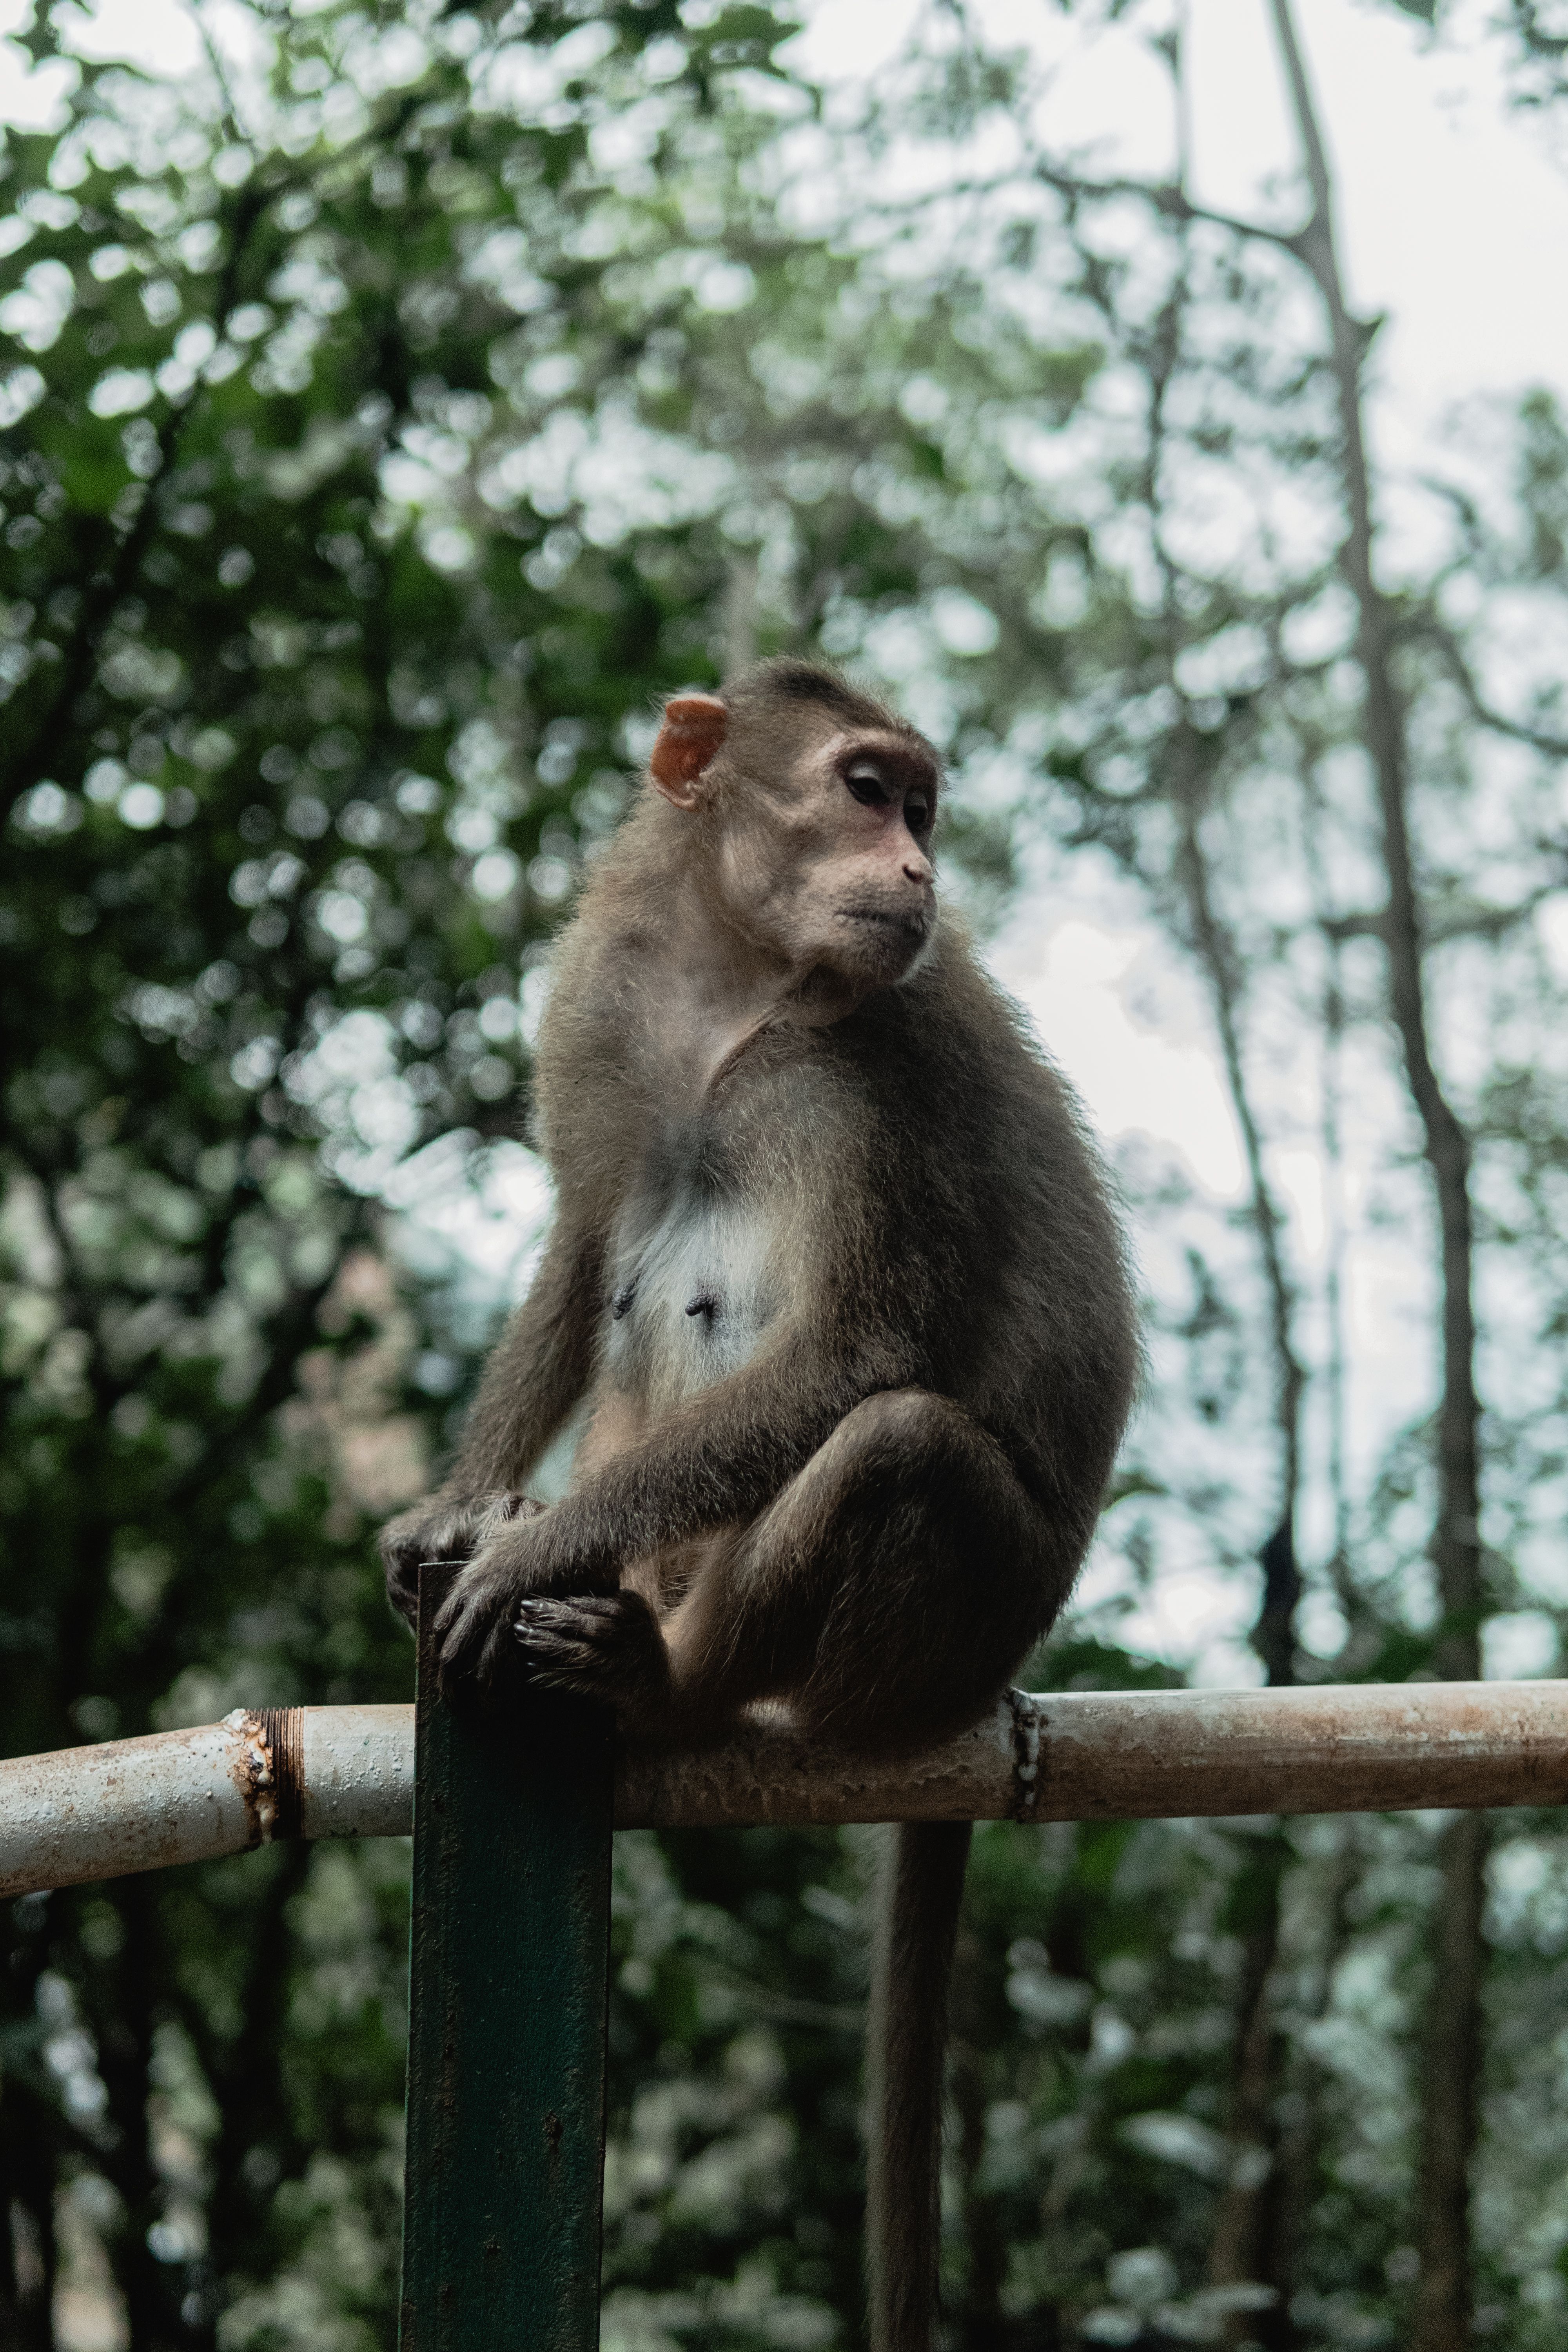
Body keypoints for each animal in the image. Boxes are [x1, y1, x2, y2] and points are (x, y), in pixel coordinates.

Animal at [380, 658, 1139, 2352]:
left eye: (922, 807)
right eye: (869, 791)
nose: (920, 870)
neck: (737, 986)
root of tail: (994, 1685)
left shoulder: (869, 1078)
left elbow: (860, 1356)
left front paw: (534, 1543)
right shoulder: (604, 1000)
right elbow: (588, 1236)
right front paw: (460, 1513)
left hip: (947, 1623)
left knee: (895, 1442)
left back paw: (667, 1687)